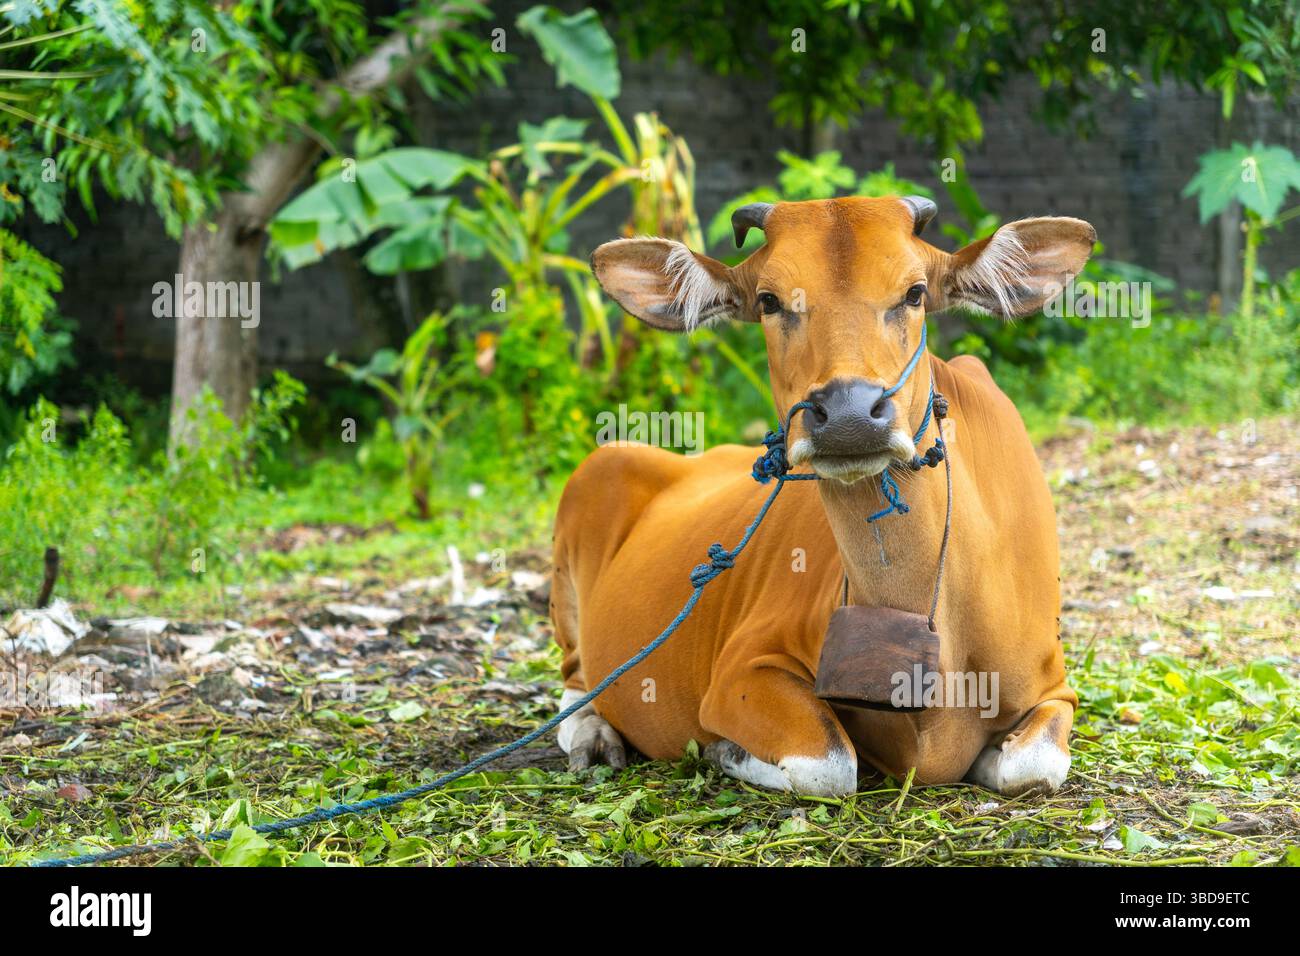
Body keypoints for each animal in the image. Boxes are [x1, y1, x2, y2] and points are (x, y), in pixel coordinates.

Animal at [550, 196, 1095, 797]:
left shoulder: (1056, 688)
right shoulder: (741, 672)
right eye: (768, 301)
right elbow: (831, 763)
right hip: (589, 496)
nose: (850, 413)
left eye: (915, 293)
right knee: (576, 681)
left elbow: (1035, 766)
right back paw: (594, 736)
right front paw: (725, 751)